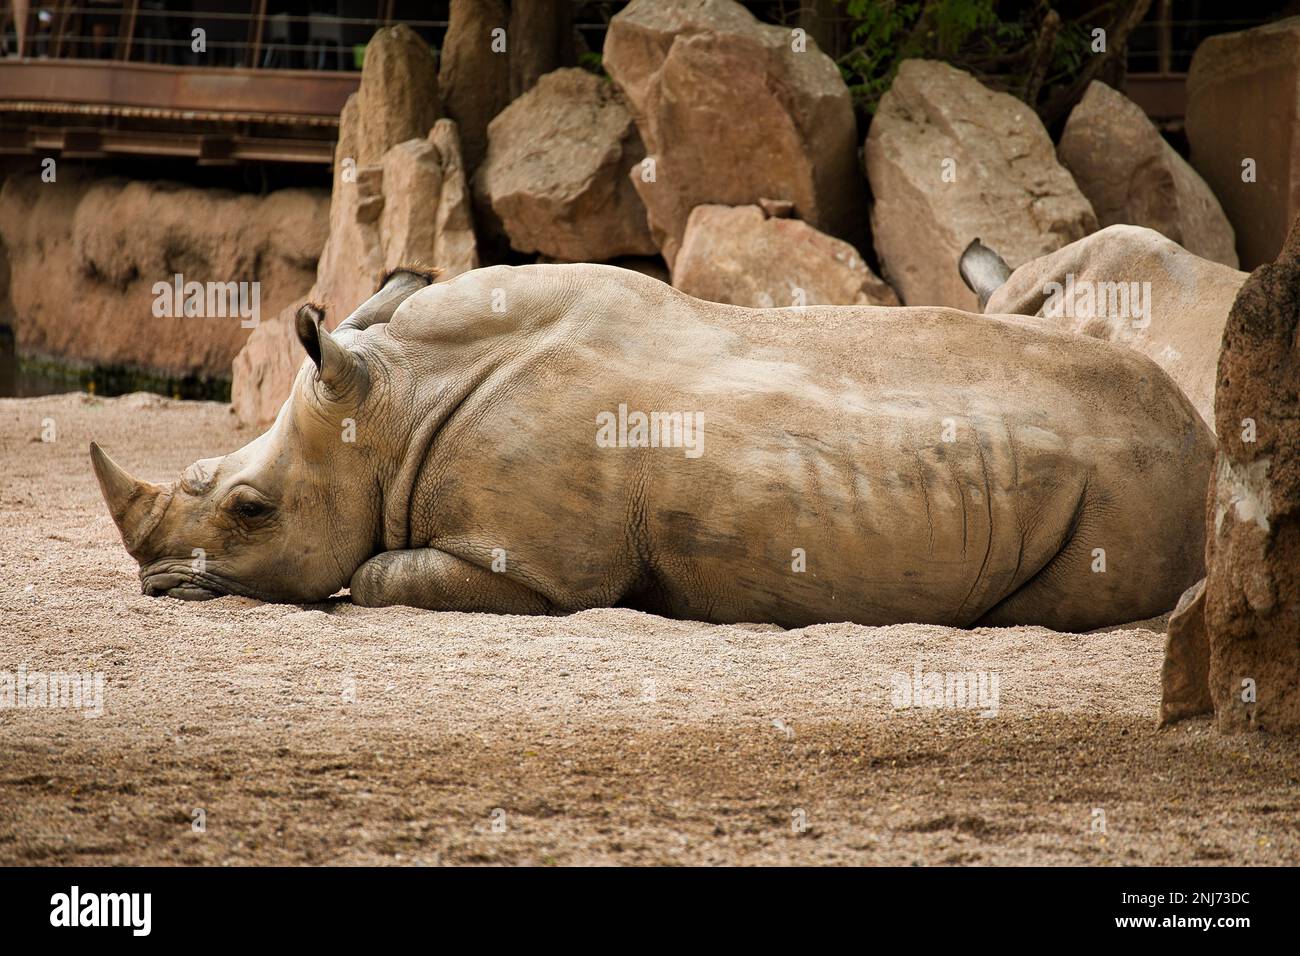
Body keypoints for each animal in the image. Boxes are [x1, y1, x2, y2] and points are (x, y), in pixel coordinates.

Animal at [92, 263, 1213, 631]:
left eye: (250, 510)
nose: (153, 583)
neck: (398, 403)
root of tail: (1206, 438)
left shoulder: (532, 569)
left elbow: (371, 574)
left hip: (1133, 486)